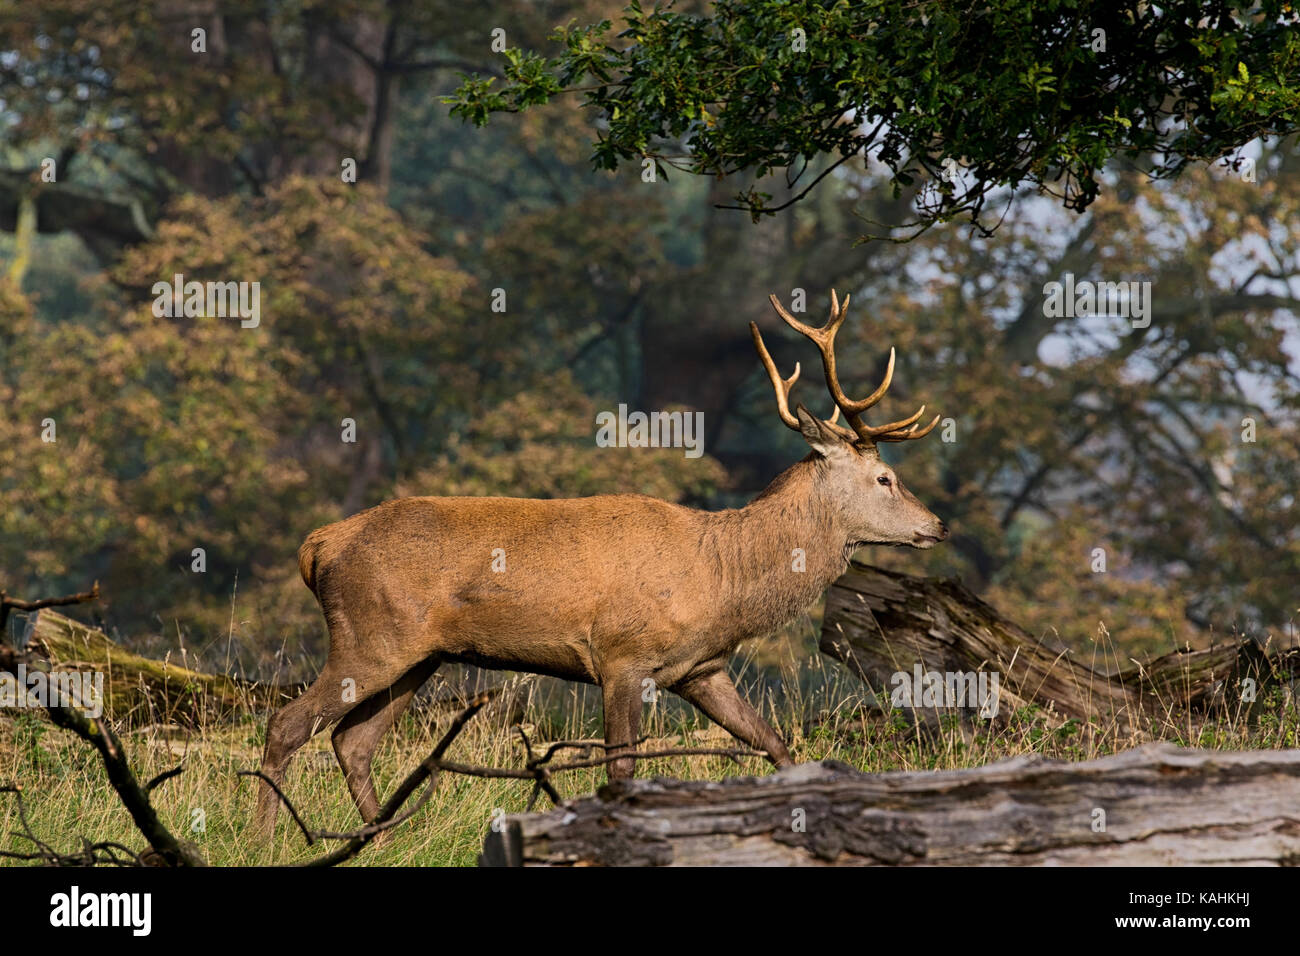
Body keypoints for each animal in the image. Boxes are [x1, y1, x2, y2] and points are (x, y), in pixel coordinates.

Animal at [253, 290, 948, 838]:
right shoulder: (621, 656)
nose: (937, 525)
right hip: (370, 637)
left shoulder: (702, 669)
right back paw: (267, 838)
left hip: (418, 655)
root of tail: (319, 544)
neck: (724, 580)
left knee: (352, 740)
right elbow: (621, 766)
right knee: (288, 723)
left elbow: (776, 744)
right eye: (885, 478)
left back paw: (380, 838)